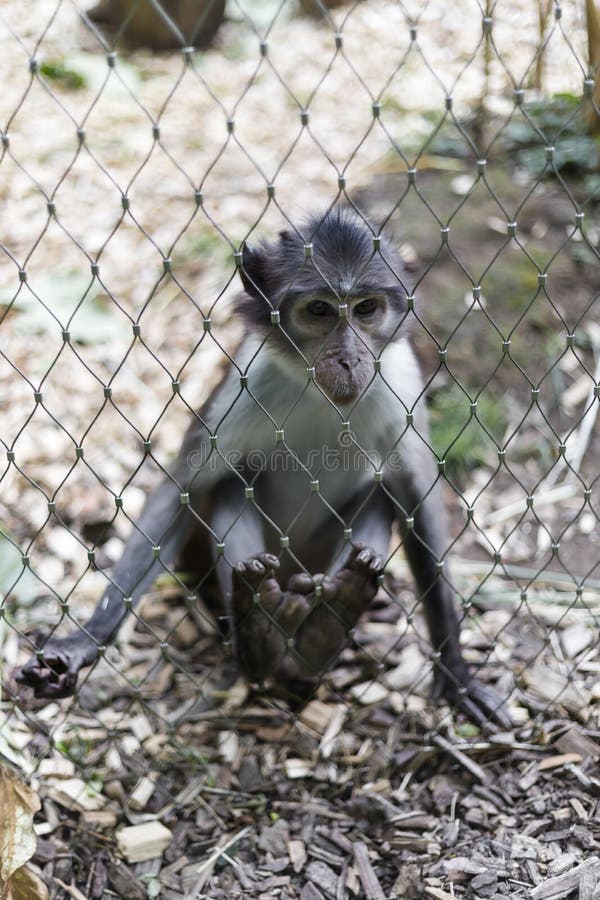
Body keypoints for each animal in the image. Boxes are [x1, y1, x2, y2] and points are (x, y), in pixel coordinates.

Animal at [17, 208, 510, 728]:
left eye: (365, 308)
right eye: (320, 311)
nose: (348, 358)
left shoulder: (399, 378)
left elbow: (416, 497)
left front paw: (456, 672)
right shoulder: (247, 381)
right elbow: (183, 489)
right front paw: (84, 641)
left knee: (376, 495)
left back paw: (324, 629)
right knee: (235, 484)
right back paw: (261, 632)